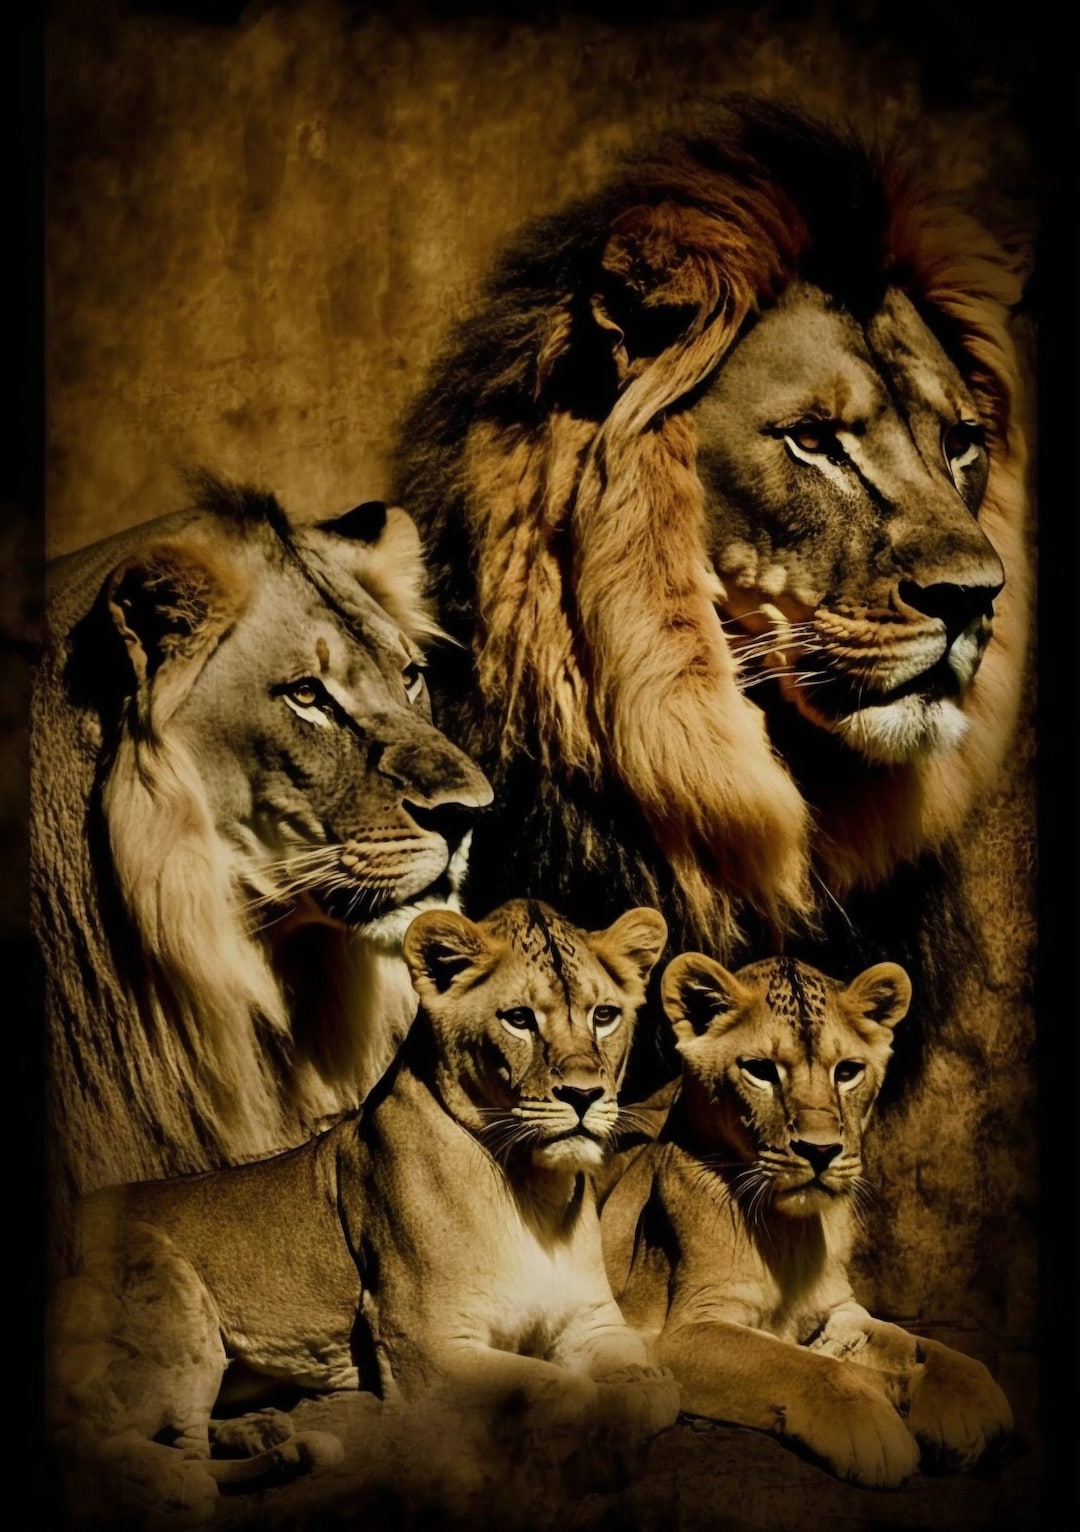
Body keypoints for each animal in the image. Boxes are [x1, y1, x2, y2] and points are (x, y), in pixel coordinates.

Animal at [47, 897, 678, 1524]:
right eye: (519, 1019)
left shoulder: (593, 1321)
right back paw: (193, 1479)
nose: (584, 1096)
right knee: (96, 1437)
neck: (533, 1188)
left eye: (604, 1015)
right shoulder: (420, 1342)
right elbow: (565, 1390)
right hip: (166, 1291)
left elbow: (656, 1392)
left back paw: (275, 1439)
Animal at [597, 951, 1013, 1488]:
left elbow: (926, 1346)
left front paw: (966, 1397)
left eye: (848, 1071)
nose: (820, 1151)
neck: (789, 1234)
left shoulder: (839, 1311)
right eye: (760, 1070)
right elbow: (798, 1364)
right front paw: (874, 1422)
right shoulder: (683, 1335)